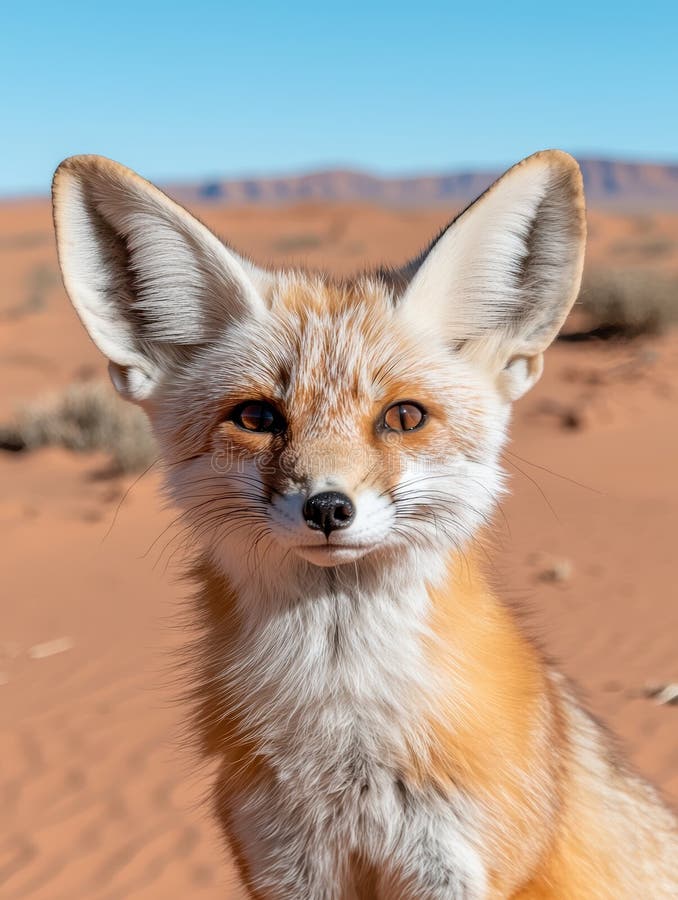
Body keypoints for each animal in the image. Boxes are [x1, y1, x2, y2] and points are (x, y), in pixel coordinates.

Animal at [52, 149, 677, 898]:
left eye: (404, 416)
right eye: (257, 417)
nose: (328, 507)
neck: (345, 738)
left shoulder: (454, 862)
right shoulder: (287, 864)